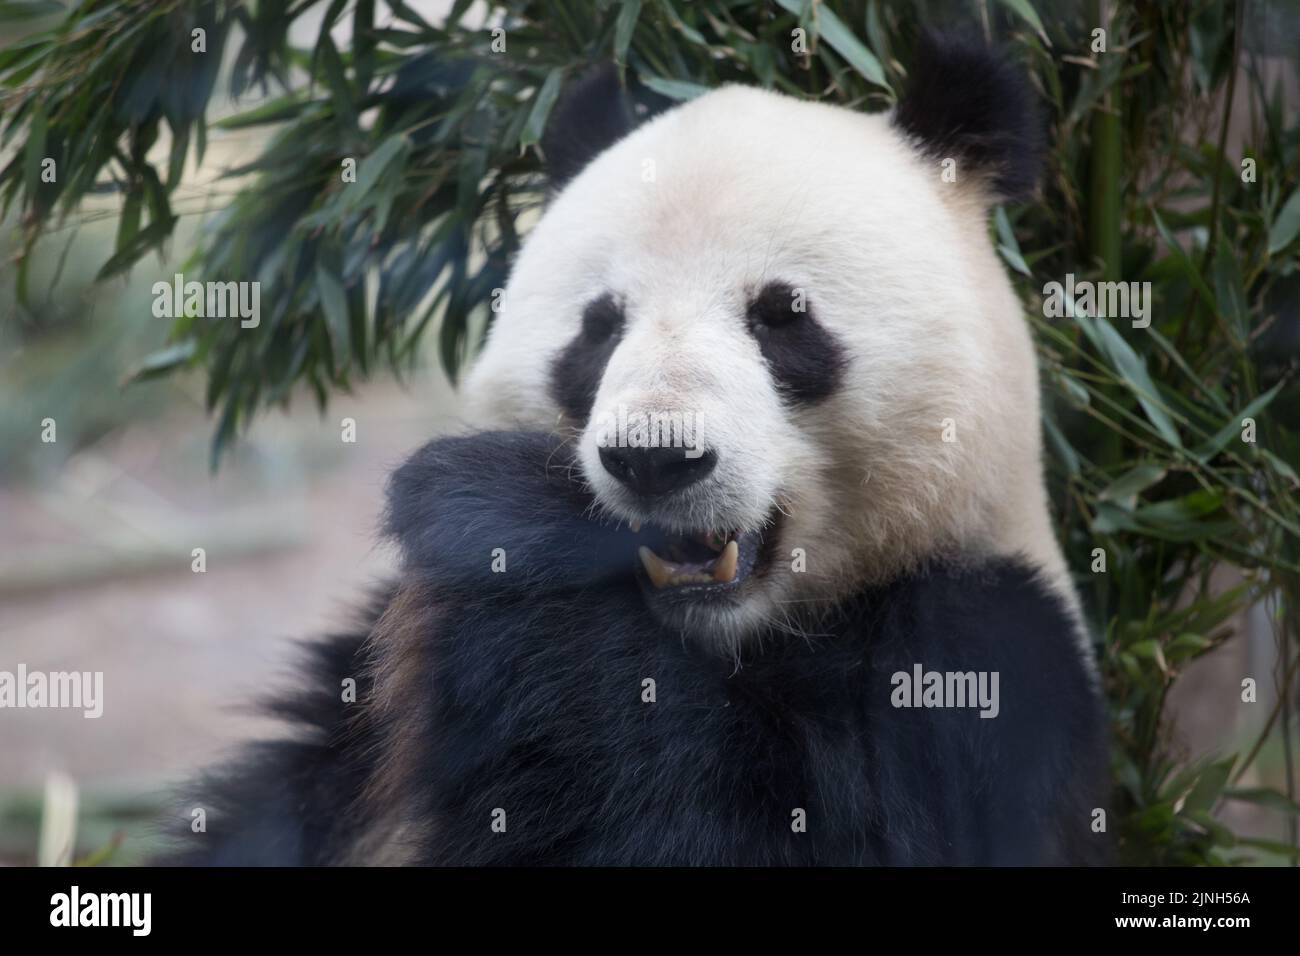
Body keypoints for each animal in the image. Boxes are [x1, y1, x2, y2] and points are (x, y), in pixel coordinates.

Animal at [174, 34, 1109, 866]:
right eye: (598, 327)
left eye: (783, 316)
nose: (656, 459)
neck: (729, 634)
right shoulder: (344, 724)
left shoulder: (977, 668)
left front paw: (492, 512)